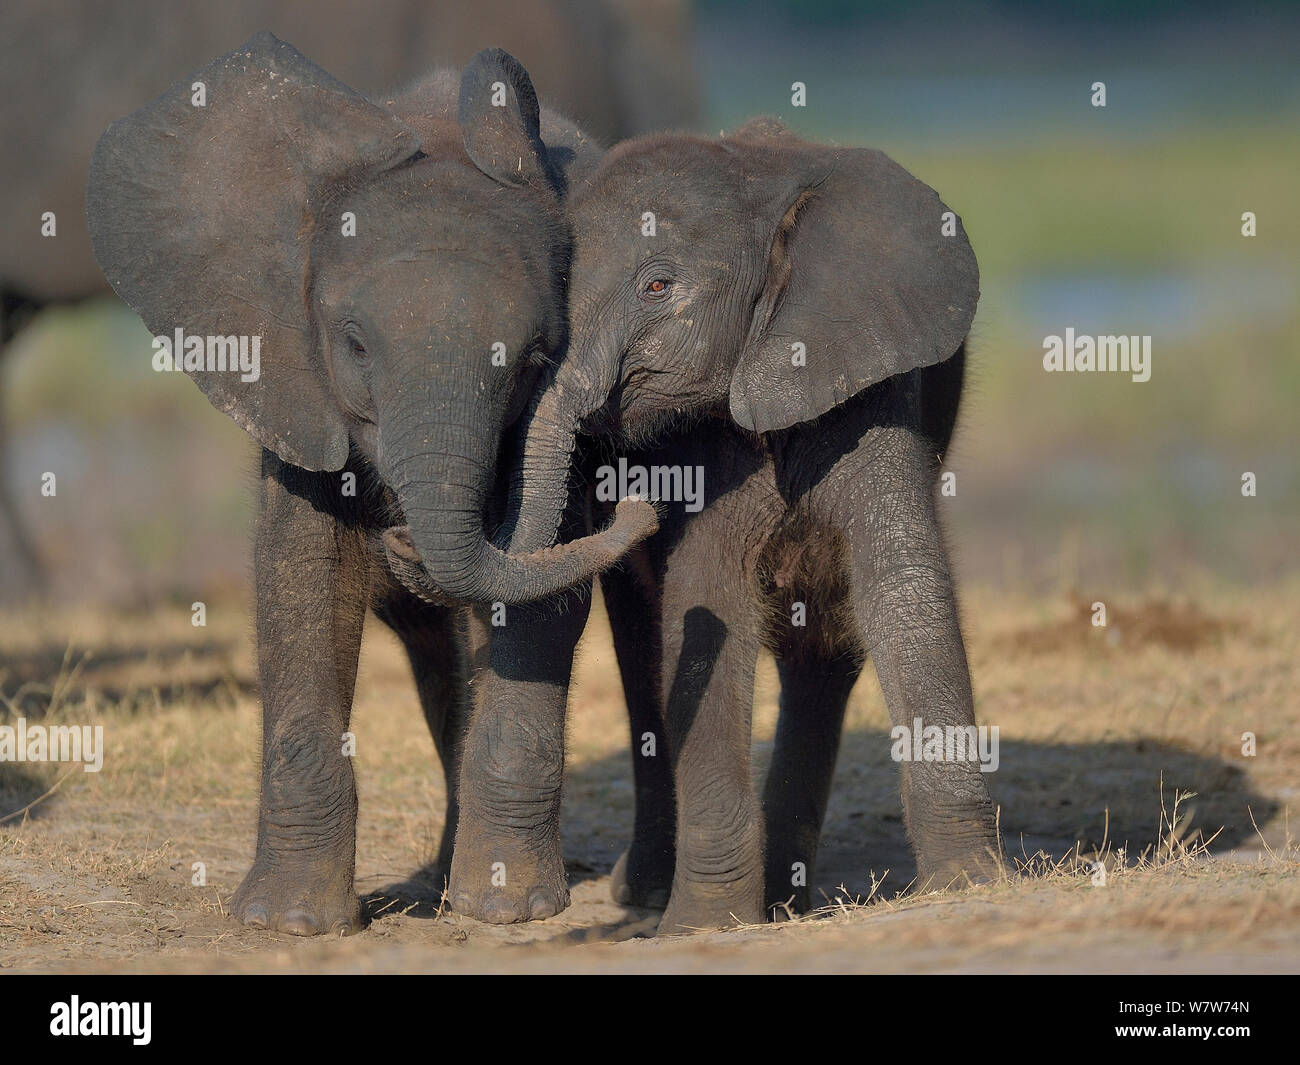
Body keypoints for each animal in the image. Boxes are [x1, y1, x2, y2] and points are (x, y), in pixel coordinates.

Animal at [85, 33, 657, 933]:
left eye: (536, 360)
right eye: (354, 344)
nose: (401, 535)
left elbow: (540, 597)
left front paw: (510, 909)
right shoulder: (293, 385)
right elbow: (300, 578)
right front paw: (285, 923)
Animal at [399, 118, 1005, 933]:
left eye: (658, 286)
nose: (632, 499)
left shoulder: (875, 385)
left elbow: (901, 582)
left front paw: (970, 884)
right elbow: (708, 601)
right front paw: (707, 924)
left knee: (821, 647)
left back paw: (782, 895)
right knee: (645, 640)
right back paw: (677, 895)